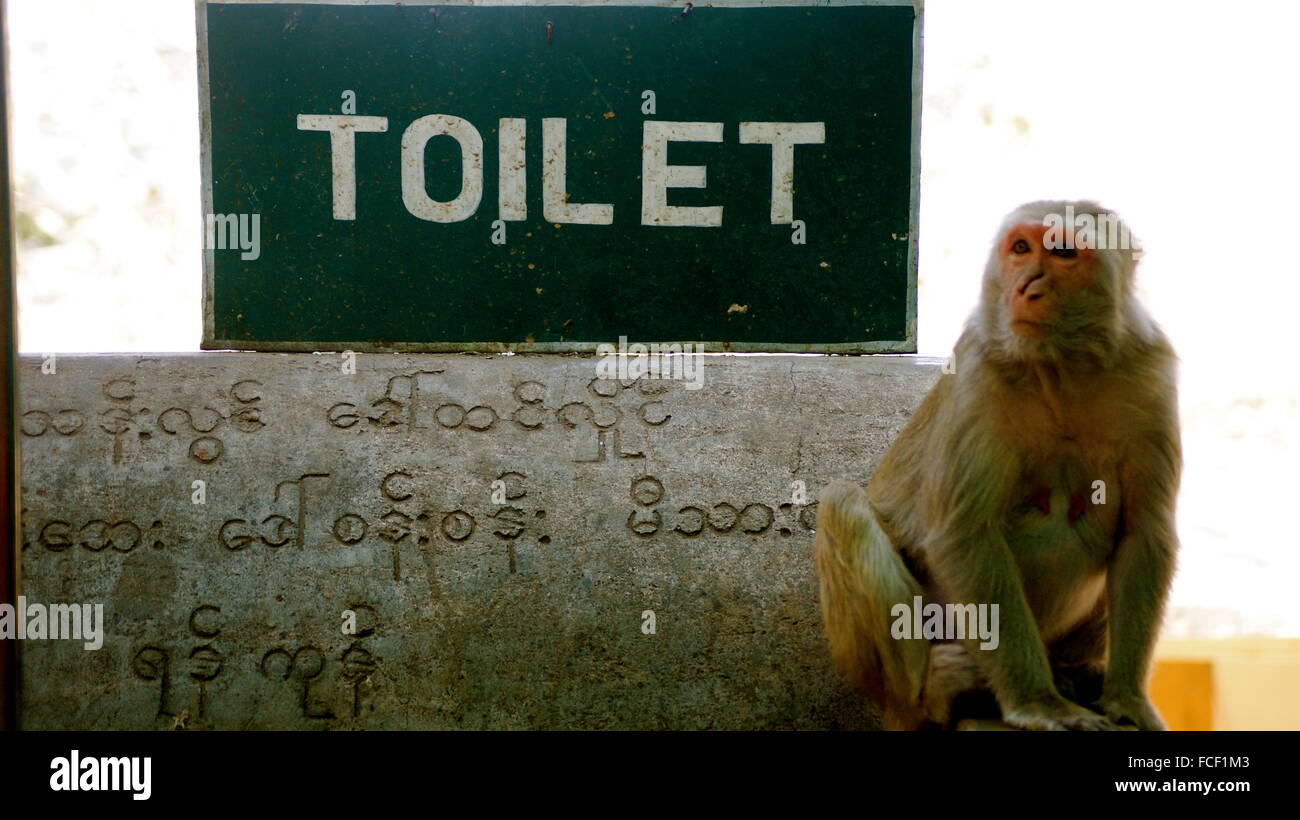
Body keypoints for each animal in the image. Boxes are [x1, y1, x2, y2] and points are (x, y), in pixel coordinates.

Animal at [815, 200, 1179, 731]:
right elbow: (967, 533)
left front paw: (1126, 700)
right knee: (842, 505)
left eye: (1063, 252)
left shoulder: (1150, 375)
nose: (1026, 287)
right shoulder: (978, 373)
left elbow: (1144, 532)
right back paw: (932, 695)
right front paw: (1038, 702)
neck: (1063, 369)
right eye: (1021, 248)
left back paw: (1076, 673)